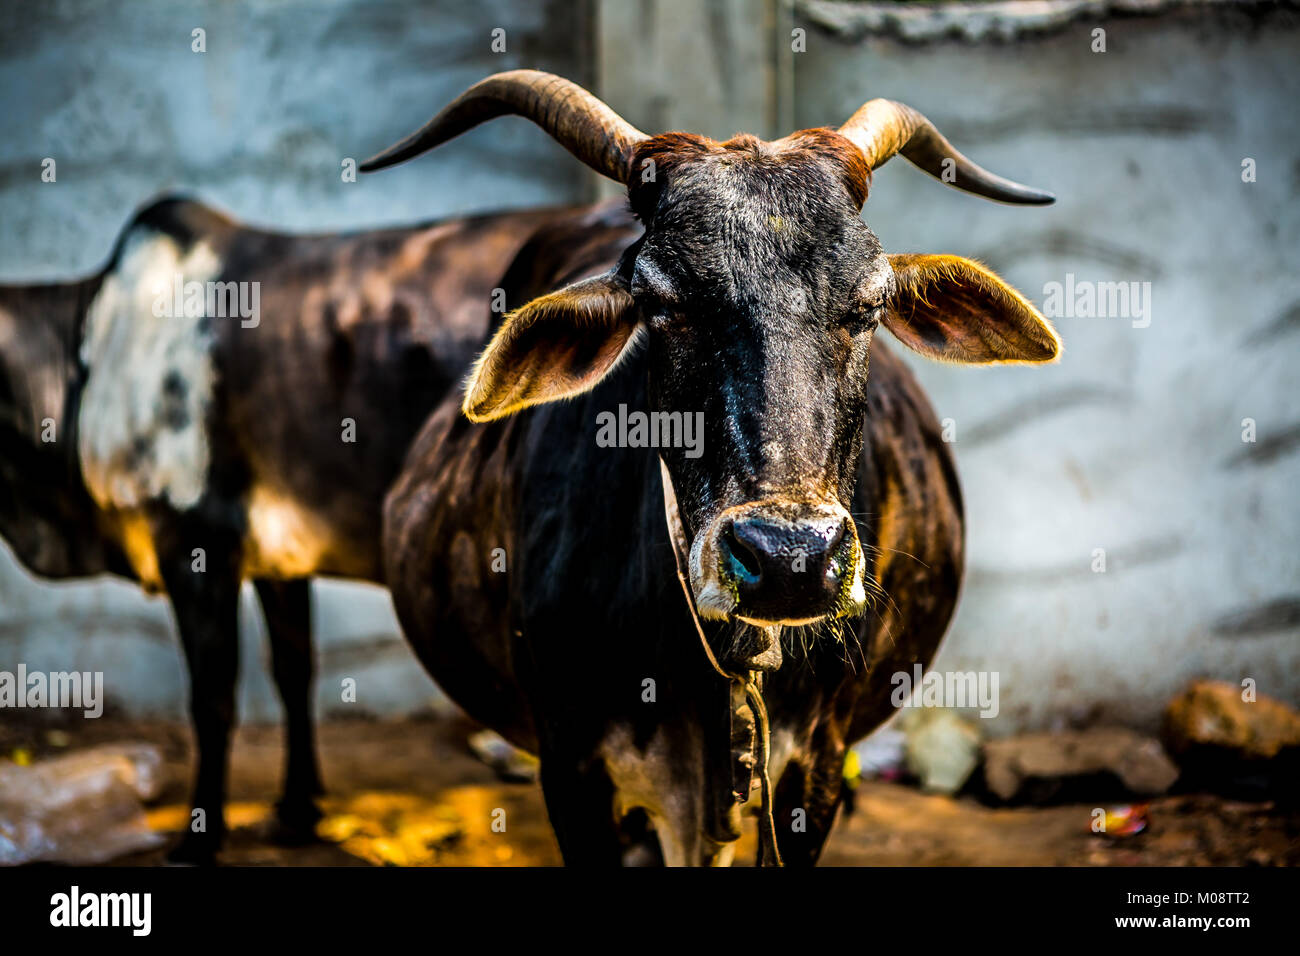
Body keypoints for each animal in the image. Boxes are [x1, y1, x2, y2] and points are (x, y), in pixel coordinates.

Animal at [0, 195, 589, 862]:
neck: (84, 354)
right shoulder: (276, 554)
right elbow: (293, 670)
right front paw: (297, 812)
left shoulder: (195, 539)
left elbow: (212, 698)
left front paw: (199, 837)